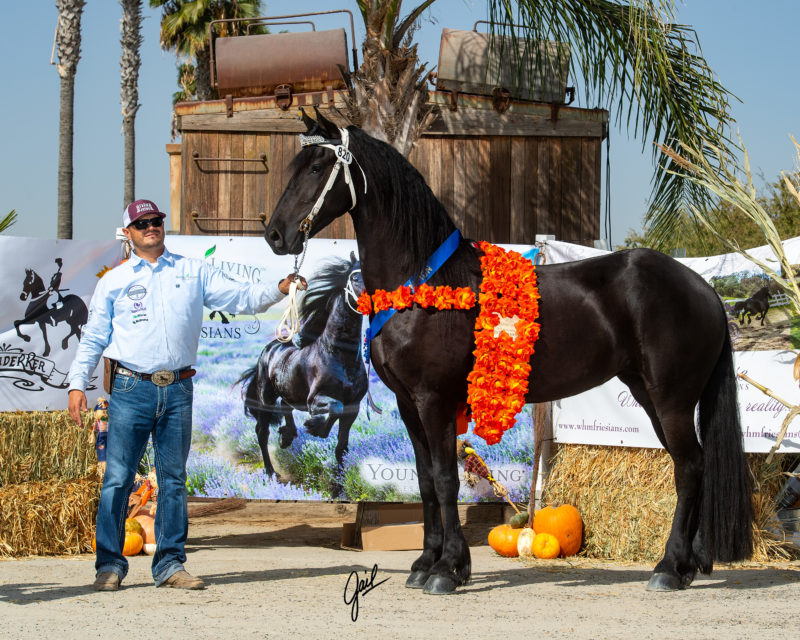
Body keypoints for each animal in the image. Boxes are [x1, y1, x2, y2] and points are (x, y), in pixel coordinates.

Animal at [238, 253, 367, 482]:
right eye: (353, 278)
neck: (341, 356)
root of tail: (269, 349)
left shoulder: (353, 407)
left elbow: (341, 447)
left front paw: (339, 483)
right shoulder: (314, 399)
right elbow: (334, 407)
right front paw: (315, 428)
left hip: (289, 392)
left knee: (285, 406)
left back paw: (287, 436)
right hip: (266, 398)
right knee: (262, 432)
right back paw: (270, 471)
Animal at [264, 110, 753, 594]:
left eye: (316, 167)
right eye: (295, 165)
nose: (274, 235)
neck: (422, 281)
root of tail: (703, 287)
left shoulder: (434, 400)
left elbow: (445, 479)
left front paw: (448, 570)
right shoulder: (408, 404)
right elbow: (424, 482)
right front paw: (424, 563)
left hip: (671, 399)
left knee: (689, 467)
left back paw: (669, 568)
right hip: (652, 396)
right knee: (695, 465)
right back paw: (689, 565)